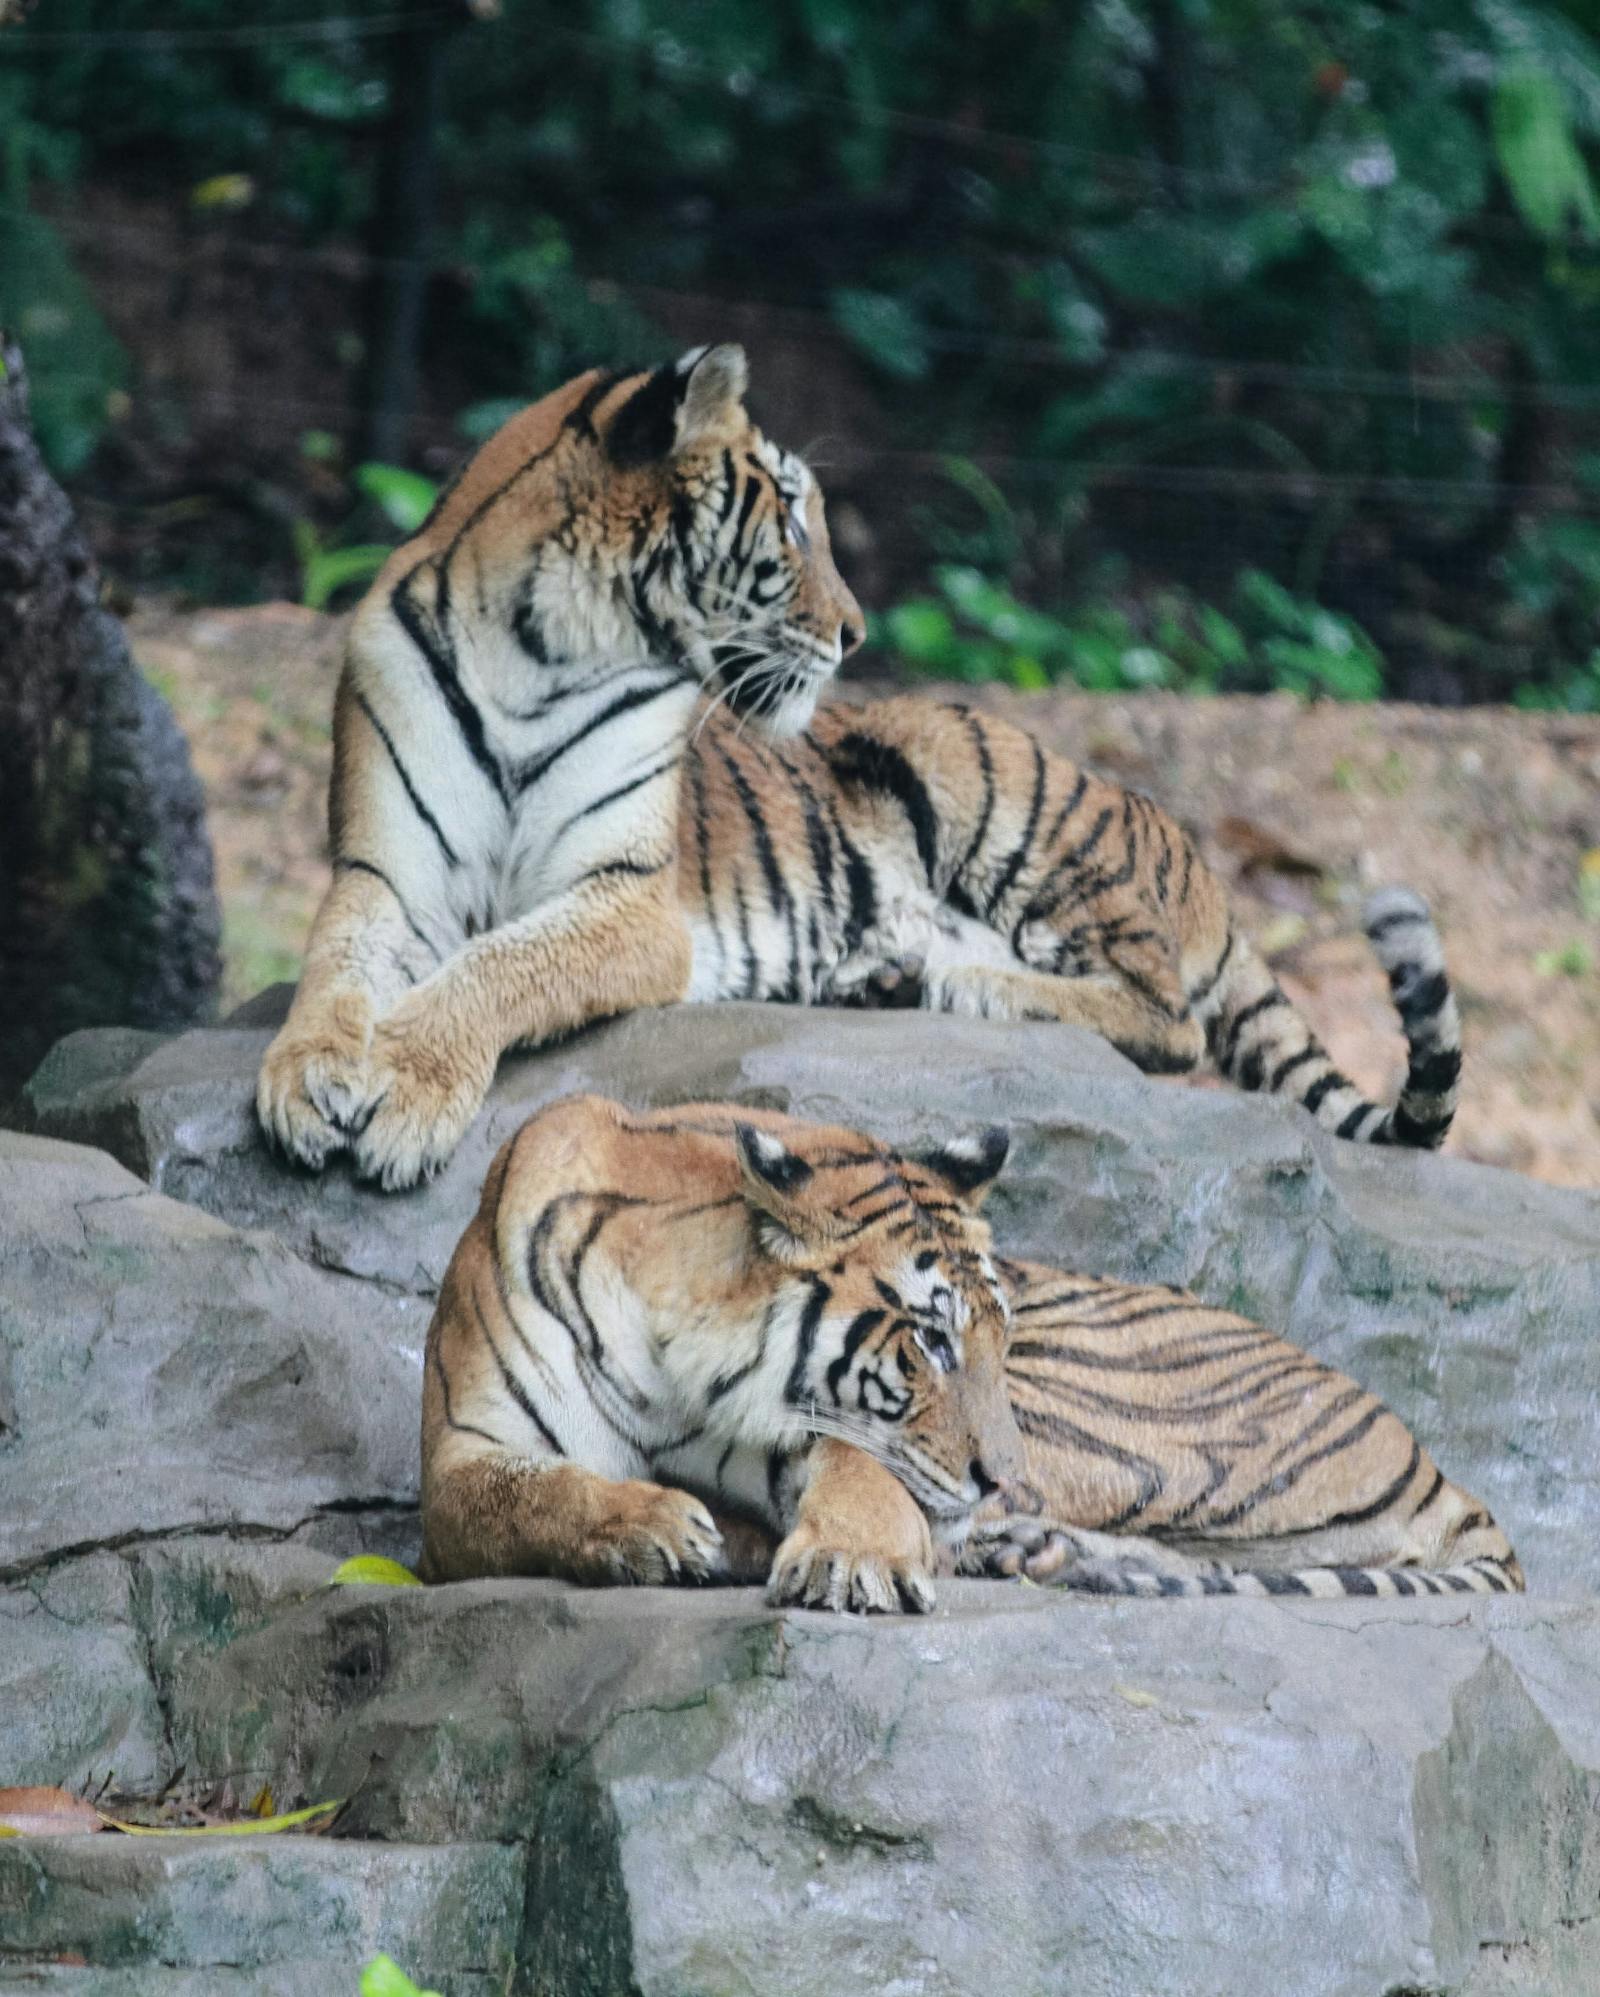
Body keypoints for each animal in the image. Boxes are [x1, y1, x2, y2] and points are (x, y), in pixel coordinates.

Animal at [257, 342, 1462, 1191]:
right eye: (790, 515)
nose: (857, 631)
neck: (540, 647)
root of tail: (1193, 856)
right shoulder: (386, 874)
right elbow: (335, 968)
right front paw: (306, 1081)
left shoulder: (629, 901)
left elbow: (499, 965)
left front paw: (404, 1099)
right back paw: (880, 974)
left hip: (998, 795)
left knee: (1169, 1015)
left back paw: (959, 983)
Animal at [420, 1095, 1521, 1612]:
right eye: (931, 1339)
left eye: (997, 1335)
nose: (1004, 1474)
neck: (674, 1365)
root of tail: (1438, 1468)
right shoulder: (459, 1456)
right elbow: (532, 1493)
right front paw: (653, 1525)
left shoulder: (823, 1436)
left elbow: (867, 1473)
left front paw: (851, 1560)